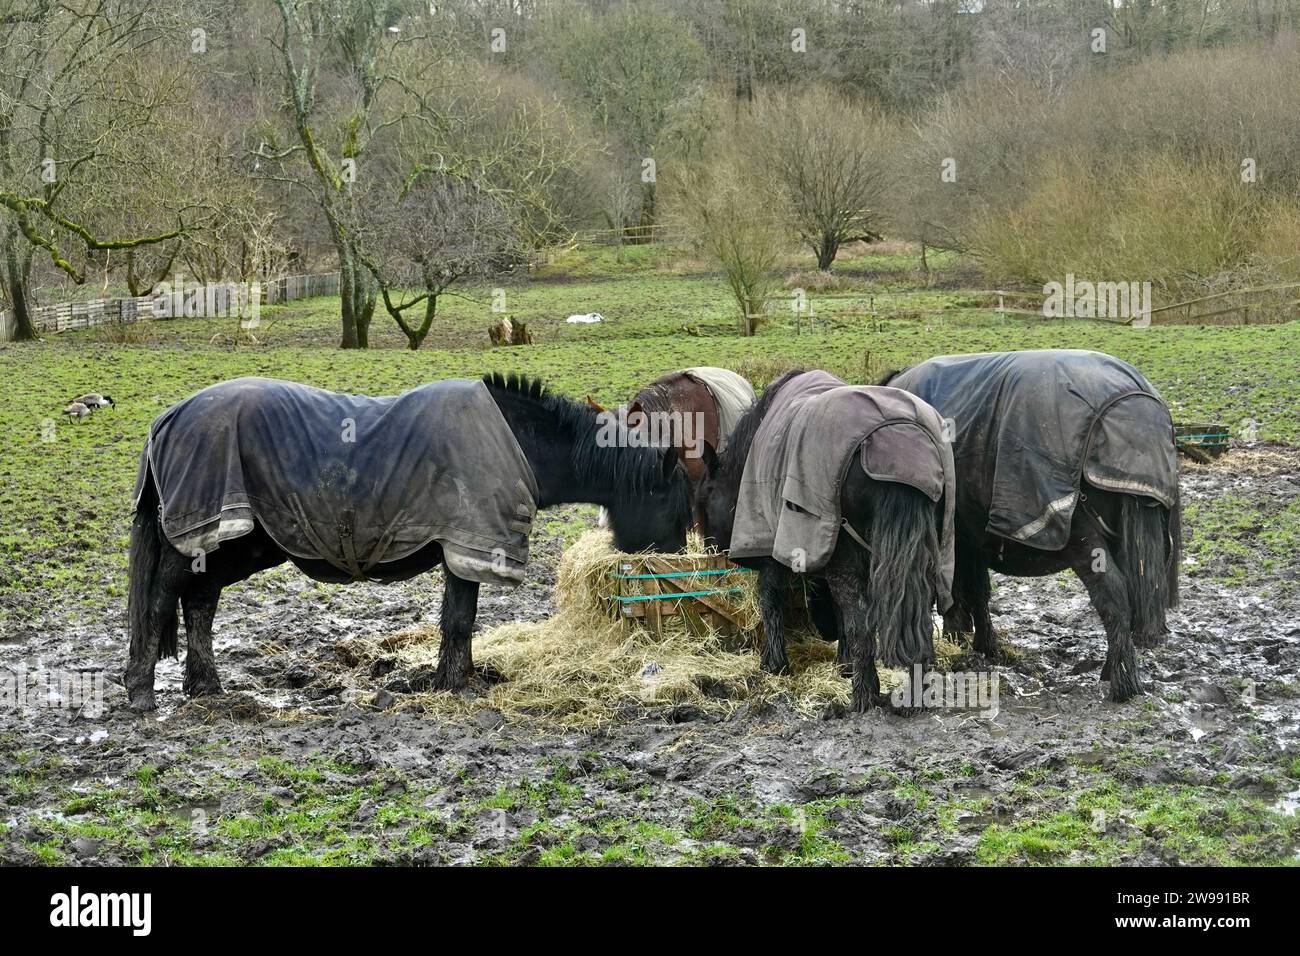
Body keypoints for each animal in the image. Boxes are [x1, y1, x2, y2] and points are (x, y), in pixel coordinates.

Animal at [125, 372, 692, 712]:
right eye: (673, 499)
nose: (672, 569)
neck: (517, 440)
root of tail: (169, 418)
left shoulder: (463, 548)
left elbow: (456, 618)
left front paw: (452, 678)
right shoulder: (469, 545)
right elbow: (460, 618)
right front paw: (458, 683)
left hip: (234, 544)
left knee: (200, 601)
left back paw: (206, 688)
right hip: (203, 542)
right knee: (161, 601)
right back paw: (141, 691)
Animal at [695, 369, 956, 713]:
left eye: (705, 497)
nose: (711, 550)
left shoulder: (775, 543)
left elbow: (771, 597)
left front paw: (774, 663)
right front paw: (843, 663)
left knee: (861, 617)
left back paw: (863, 695)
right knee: (917, 612)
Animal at [879, 350, 1181, 702]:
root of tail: (1133, 404)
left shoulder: (956, 541)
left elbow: (957, 593)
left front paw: (960, 643)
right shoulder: (971, 540)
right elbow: (978, 592)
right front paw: (984, 647)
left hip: (1083, 538)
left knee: (1114, 594)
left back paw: (1122, 686)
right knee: (1129, 596)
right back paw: (1110, 671)